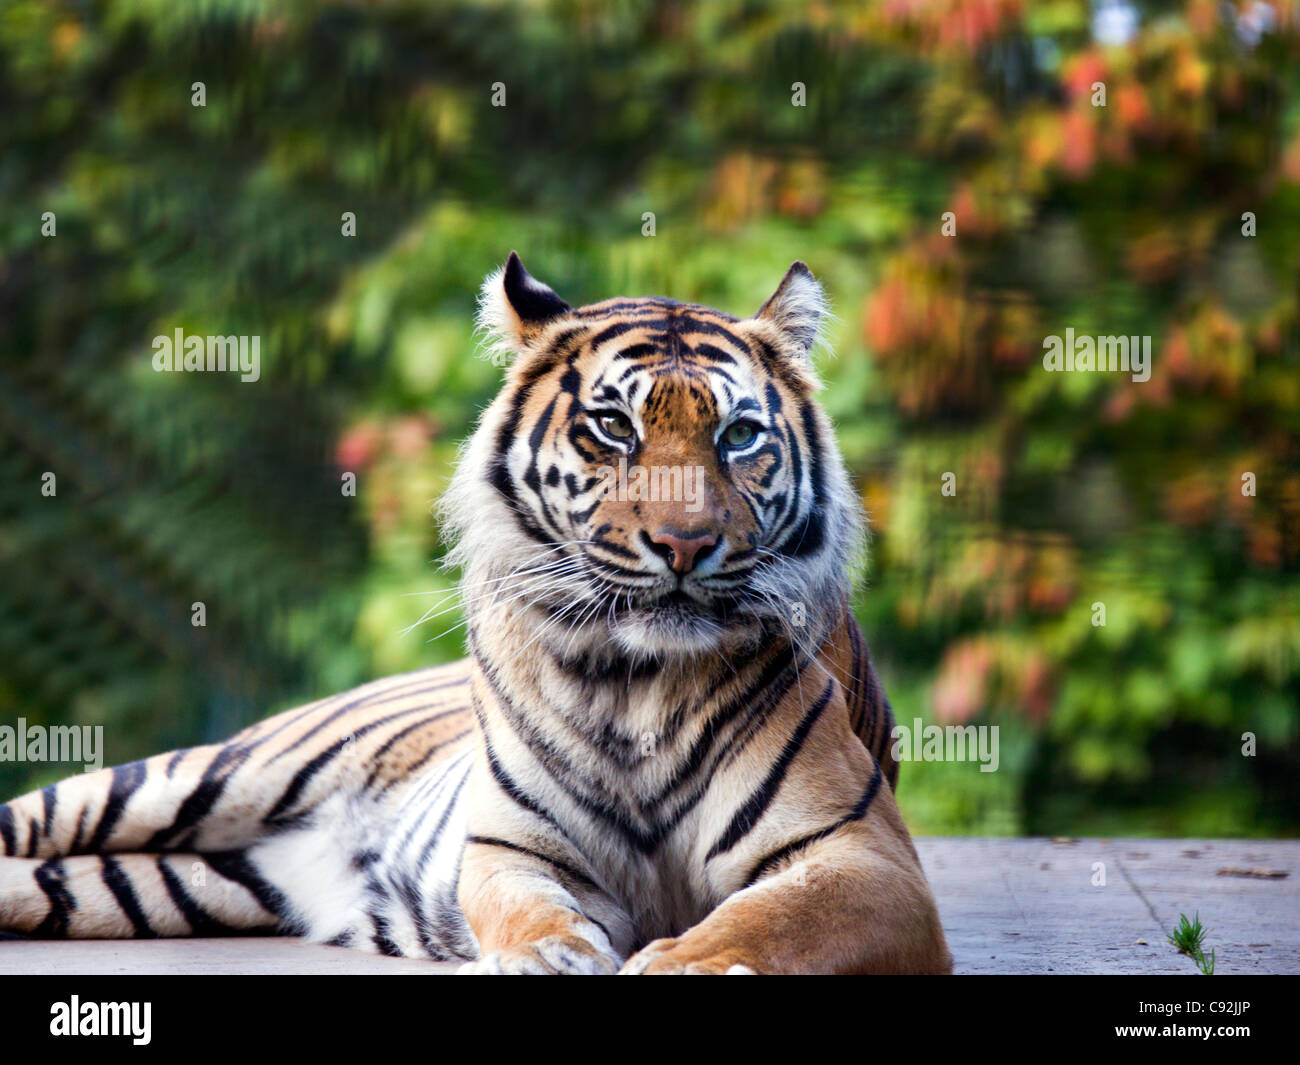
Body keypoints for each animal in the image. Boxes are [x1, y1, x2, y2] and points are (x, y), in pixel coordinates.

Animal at [0, 254, 952, 974]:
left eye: (739, 436)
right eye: (614, 426)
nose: (685, 545)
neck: (635, 682)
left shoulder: (866, 858)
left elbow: (764, 920)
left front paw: (681, 962)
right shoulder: (517, 849)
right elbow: (531, 908)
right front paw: (543, 958)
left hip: (173, 882)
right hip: (194, 777)